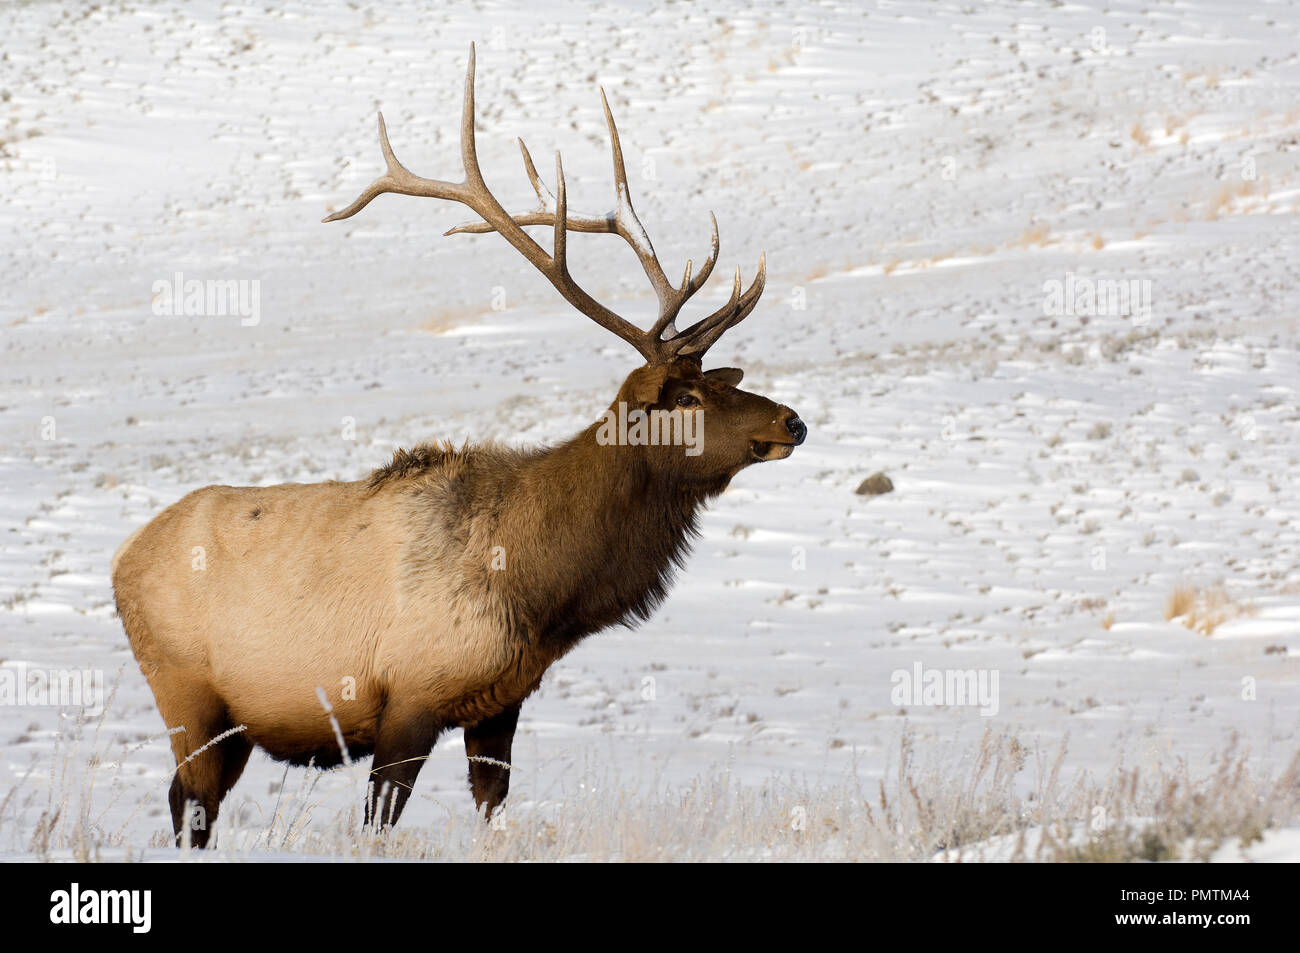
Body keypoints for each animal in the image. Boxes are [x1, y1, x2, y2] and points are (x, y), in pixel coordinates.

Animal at [111, 45, 806, 847]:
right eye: (687, 397)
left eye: (715, 381)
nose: (792, 421)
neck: (542, 589)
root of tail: (120, 562)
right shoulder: (408, 697)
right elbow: (379, 821)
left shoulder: (501, 701)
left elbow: (491, 806)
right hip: (186, 692)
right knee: (188, 803)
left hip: (232, 725)